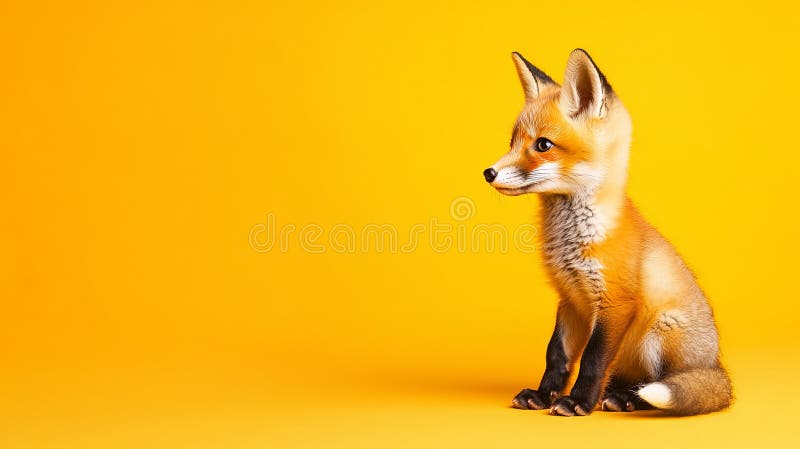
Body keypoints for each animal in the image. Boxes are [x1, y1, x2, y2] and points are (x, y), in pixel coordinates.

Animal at [483, 49, 732, 416]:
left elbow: (593, 359)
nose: (488, 173)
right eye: (513, 142)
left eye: (543, 145)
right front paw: (543, 395)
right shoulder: (570, 300)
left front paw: (577, 402)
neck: (573, 239)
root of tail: (717, 368)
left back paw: (627, 398)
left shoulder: (615, 302)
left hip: (659, 332)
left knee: (654, 383)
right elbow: (556, 356)